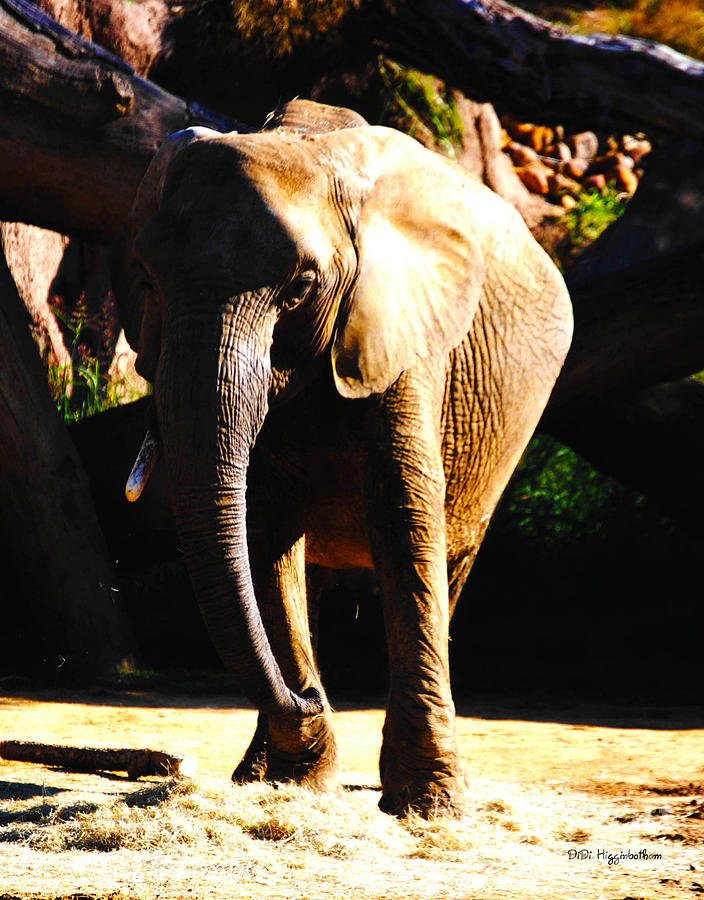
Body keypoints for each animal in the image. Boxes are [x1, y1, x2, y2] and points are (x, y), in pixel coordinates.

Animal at [111, 99, 573, 817]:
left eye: (301, 287)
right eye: (147, 279)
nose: (303, 697)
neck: (305, 146)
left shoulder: (406, 328)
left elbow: (404, 511)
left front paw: (429, 806)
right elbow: (266, 528)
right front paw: (295, 780)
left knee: (451, 561)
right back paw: (265, 768)